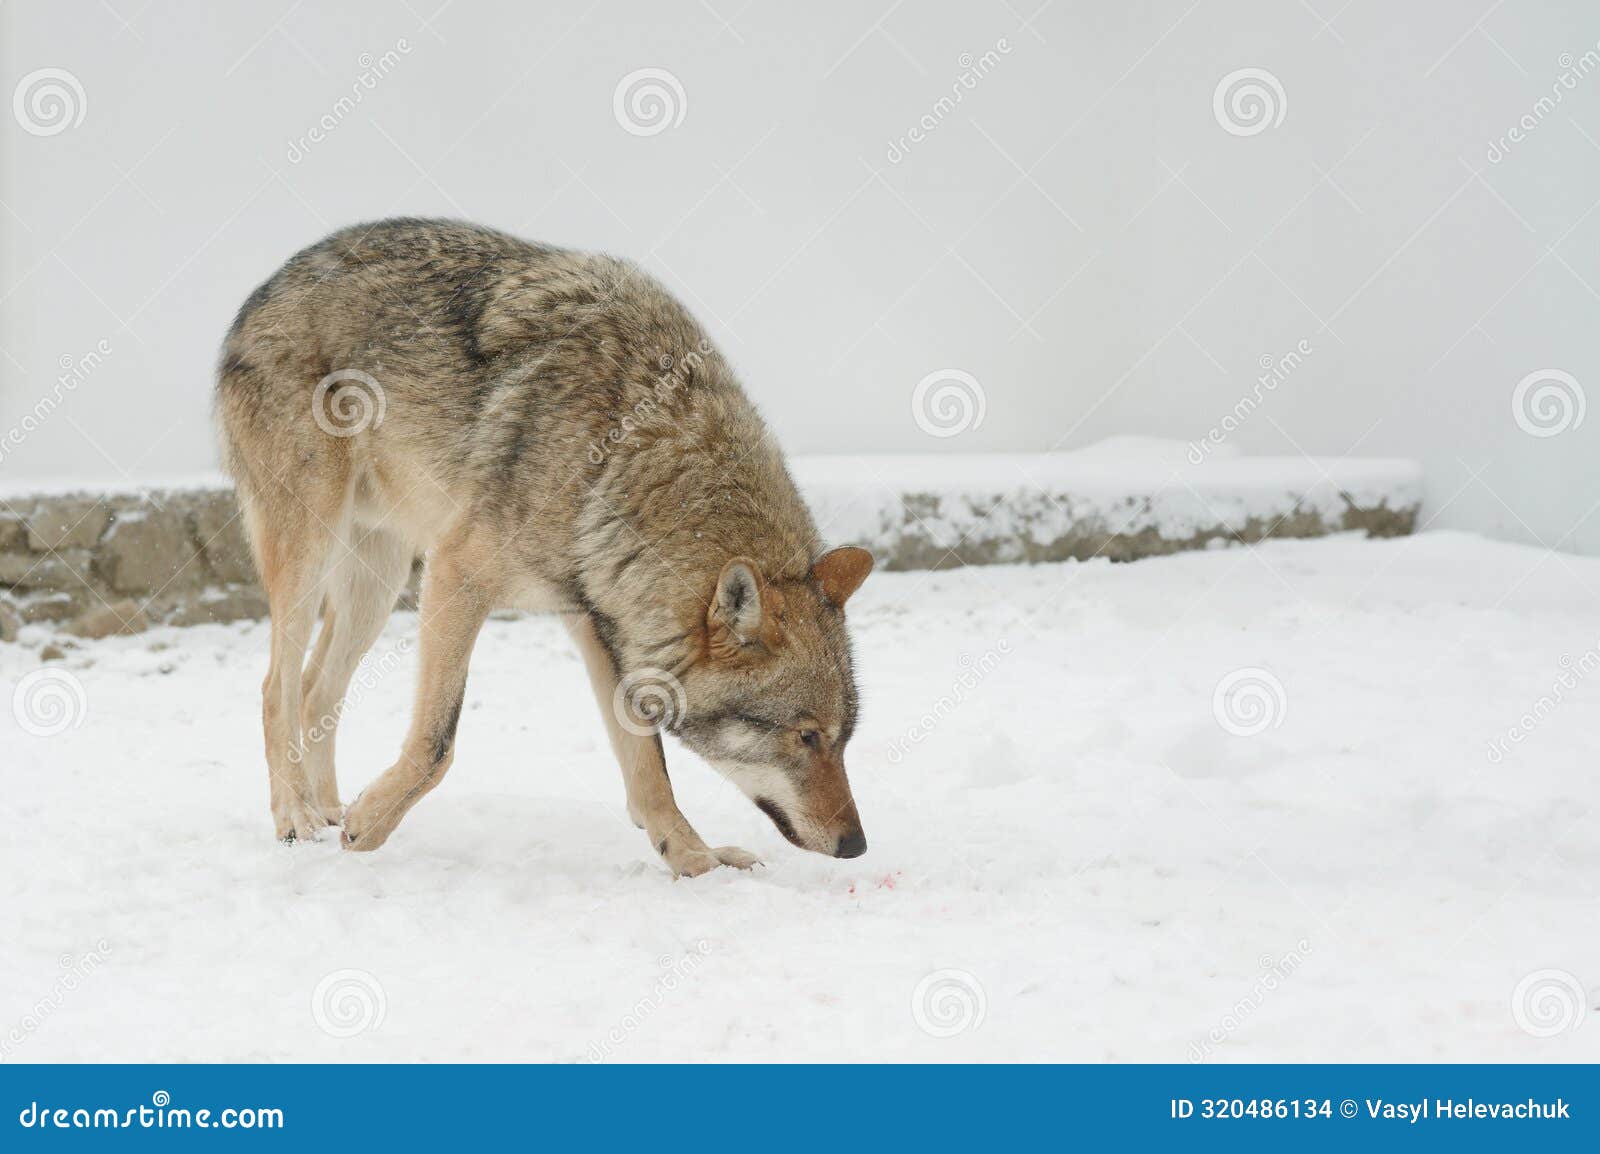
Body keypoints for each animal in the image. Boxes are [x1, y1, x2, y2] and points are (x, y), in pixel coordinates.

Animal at [215, 218, 874, 876]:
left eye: (844, 738)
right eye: (806, 736)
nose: (856, 846)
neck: (628, 454)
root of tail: (268, 286)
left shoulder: (596, 619)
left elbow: (650, 770)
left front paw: (695, 860)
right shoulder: (458, 575)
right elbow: (437, 743)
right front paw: (370, 824)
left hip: (378, 582)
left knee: (315, 690)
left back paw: (326, 808)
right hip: (314, 551)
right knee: (276, 688)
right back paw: (296, 816)